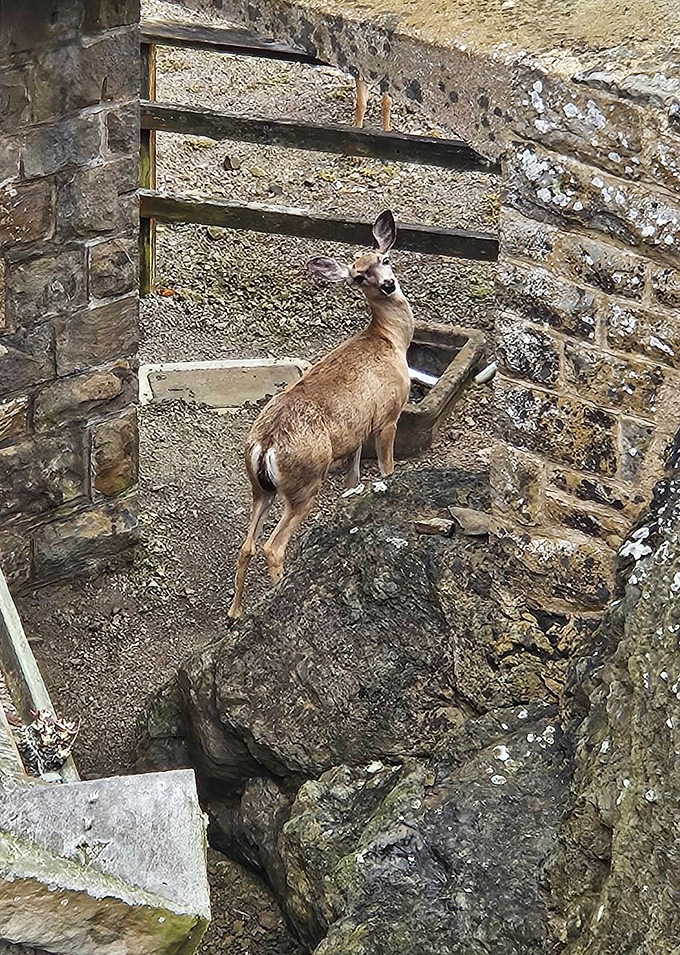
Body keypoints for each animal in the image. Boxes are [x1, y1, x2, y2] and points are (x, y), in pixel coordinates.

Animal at [228, 210, 414, 619]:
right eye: (359, 276)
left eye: (385, 259)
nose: (388, 284)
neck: (391, 340)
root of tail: (265, 445)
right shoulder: (389, 415)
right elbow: (387, 468)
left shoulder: (357, 430)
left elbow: (355, 476)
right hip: (305, 482)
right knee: (272, 546)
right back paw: (275, 599)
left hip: (259, 487)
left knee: (247, 545)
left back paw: (235, 613)